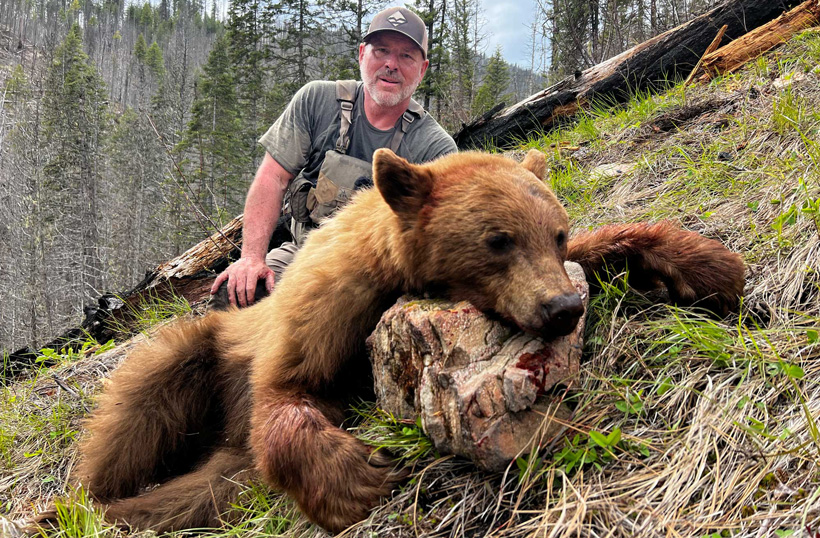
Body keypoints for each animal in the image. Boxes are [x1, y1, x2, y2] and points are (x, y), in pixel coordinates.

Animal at [35, 149, 745, 533]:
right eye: (497, 239)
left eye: (558, 231)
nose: (563, 309)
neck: (394, 271)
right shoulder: (327, 308)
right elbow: (286, 390)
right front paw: (358, 474)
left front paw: (705, 266)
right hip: (195, 350)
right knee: (138, 410)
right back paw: (84, 503)